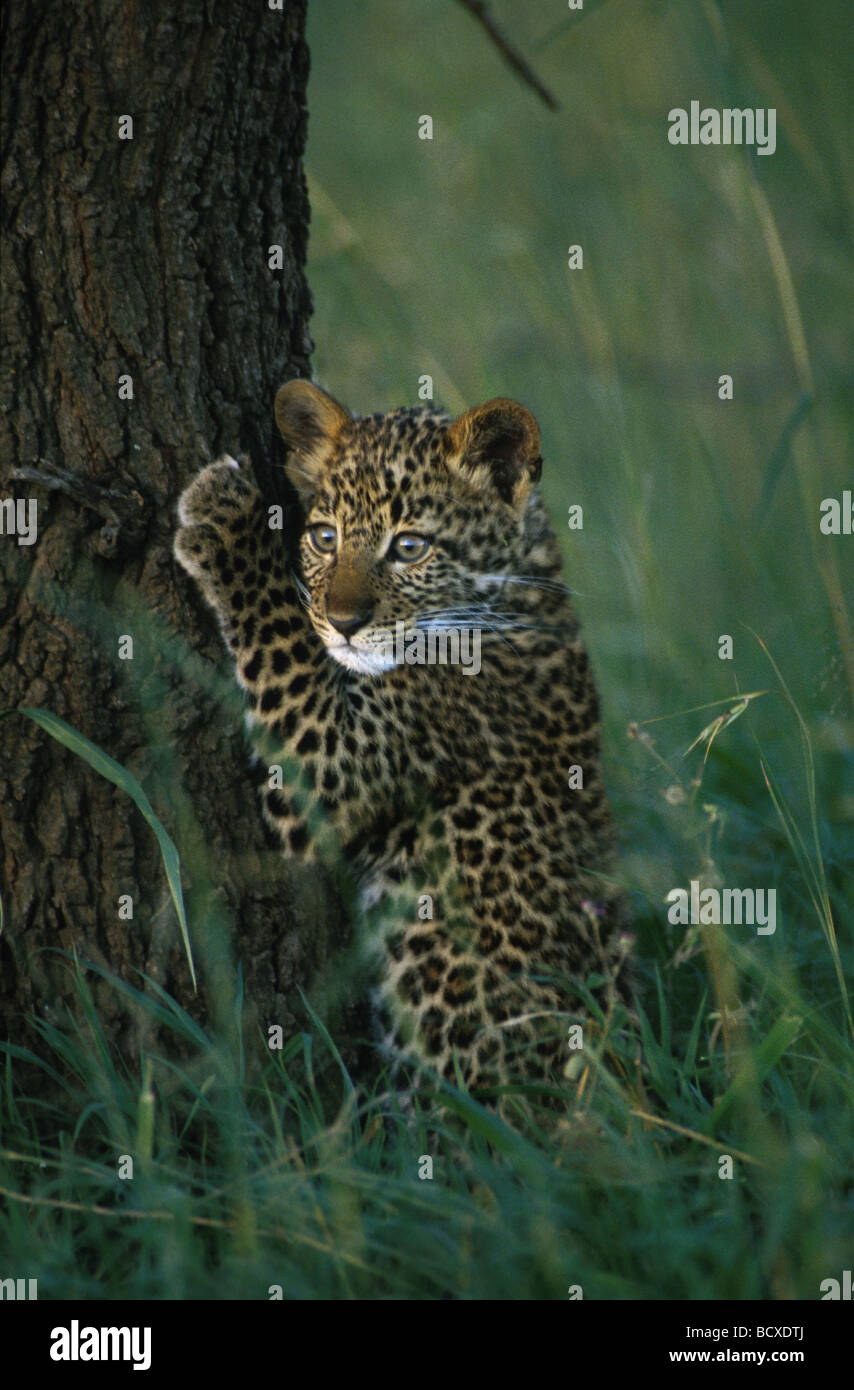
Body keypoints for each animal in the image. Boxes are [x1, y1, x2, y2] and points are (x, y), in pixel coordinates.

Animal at [174, 380, 631, 1117]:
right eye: (324, 537)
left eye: (410, 546)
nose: (344, 622)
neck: (527, 579)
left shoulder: (331, 764)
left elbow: (280, 635)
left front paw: (225, 520)